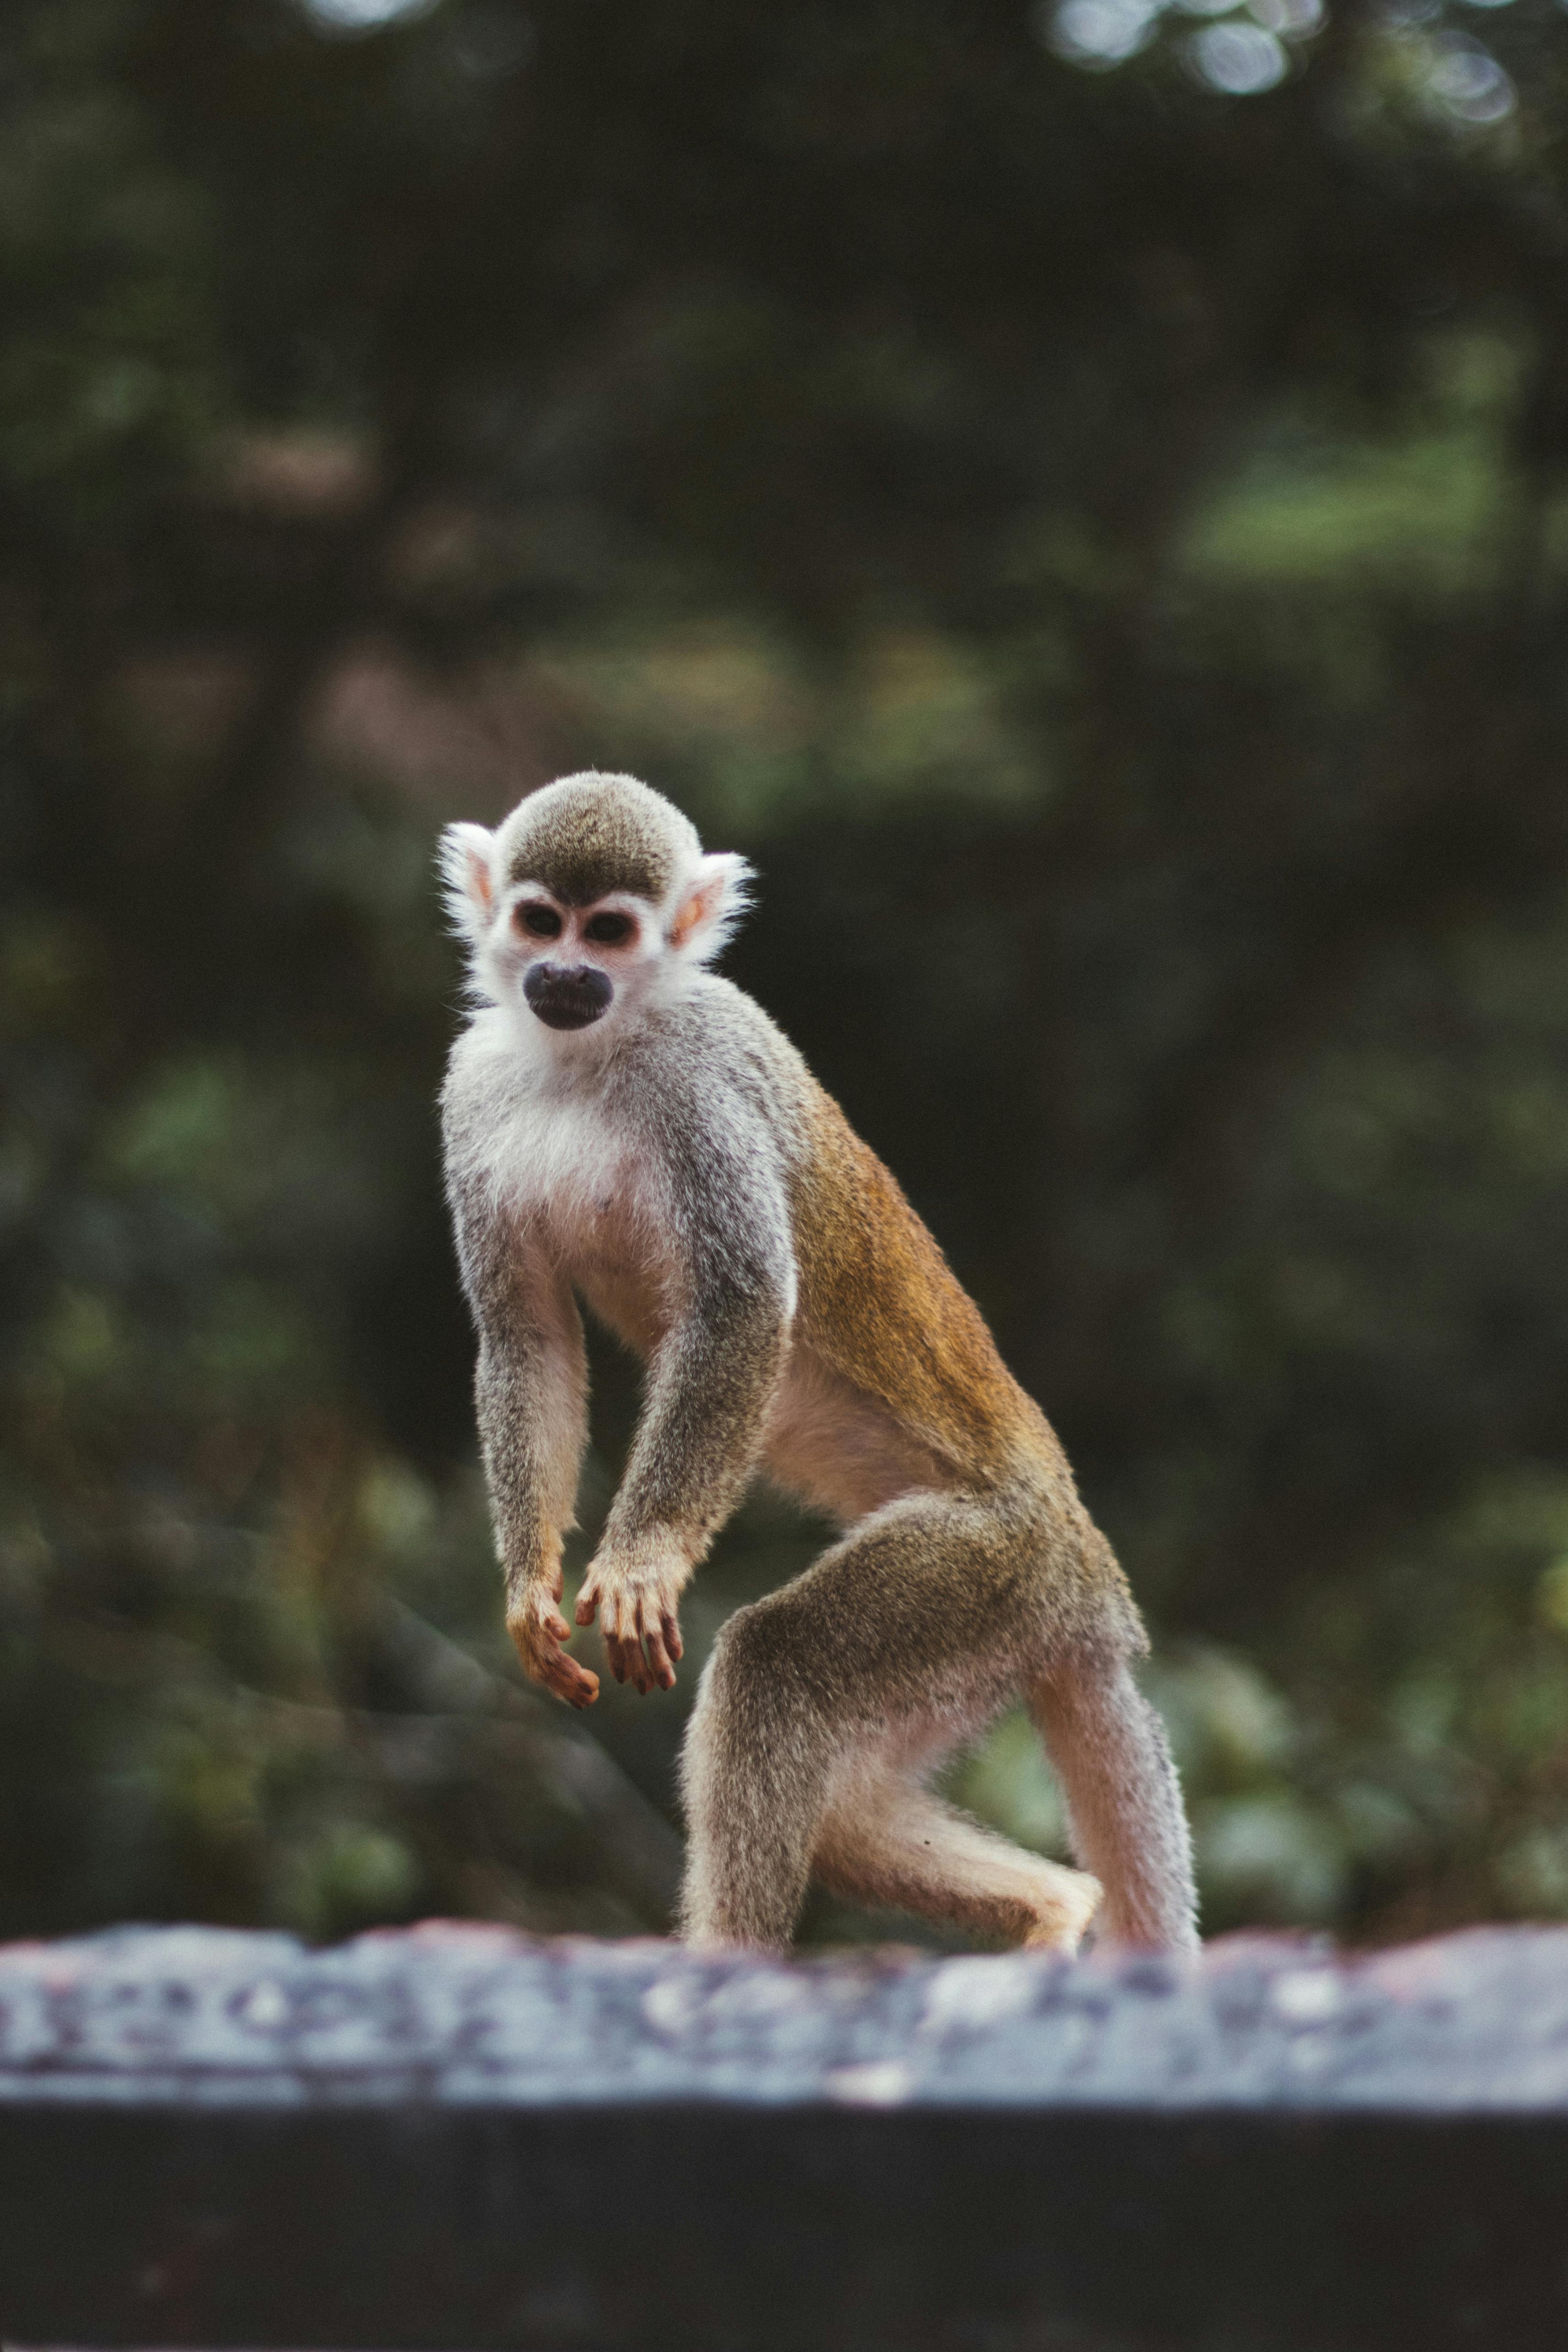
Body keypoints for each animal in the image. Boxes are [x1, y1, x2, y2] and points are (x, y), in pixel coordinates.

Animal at [439, 770, 1198, 1957]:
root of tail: (1090, 1576)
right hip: (988, 1646)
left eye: (608, 930)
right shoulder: (473, 1088)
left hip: (989, 1569)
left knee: (774, 1665)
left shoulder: (704, 1088)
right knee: (839, 1810)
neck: (589, 1053)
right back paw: (1056, 1907)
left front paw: (643, 1559)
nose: (564, 974)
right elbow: (527, 1339)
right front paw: (528, 1587)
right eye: (538, 919)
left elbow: (745, 1303)